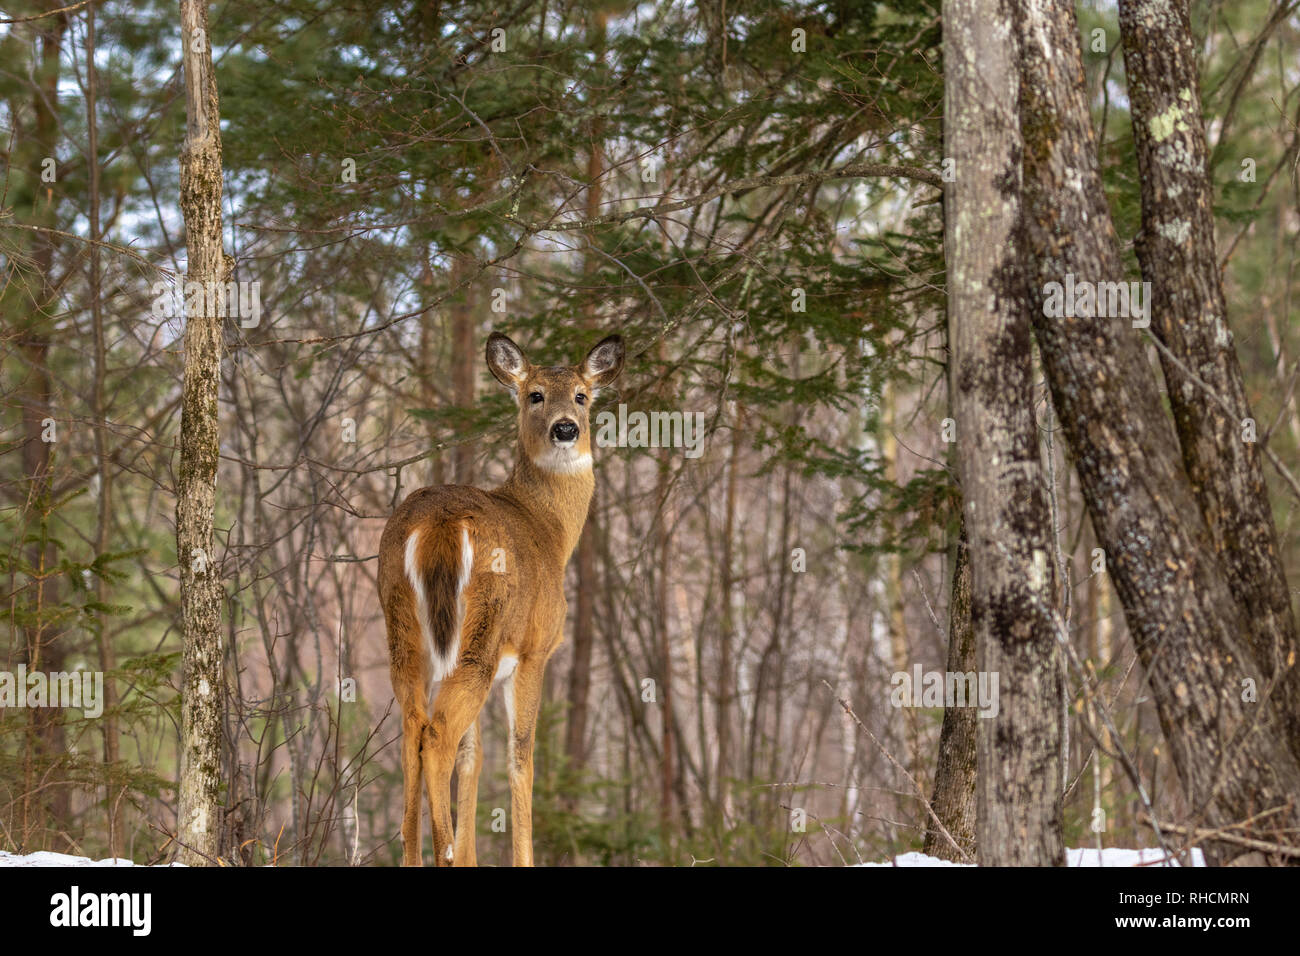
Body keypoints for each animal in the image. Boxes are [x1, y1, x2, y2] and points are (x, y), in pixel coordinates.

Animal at [377, 331, 624, 866]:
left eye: (581, 395)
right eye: (535, 395)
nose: (565, 428)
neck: (551, 531)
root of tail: (440, 523)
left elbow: (474, 757)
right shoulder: (535, 650)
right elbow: (520, 757)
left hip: (402, 624)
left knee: (414, 730)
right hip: (484, 632)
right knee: (437, 734)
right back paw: (445, 850)